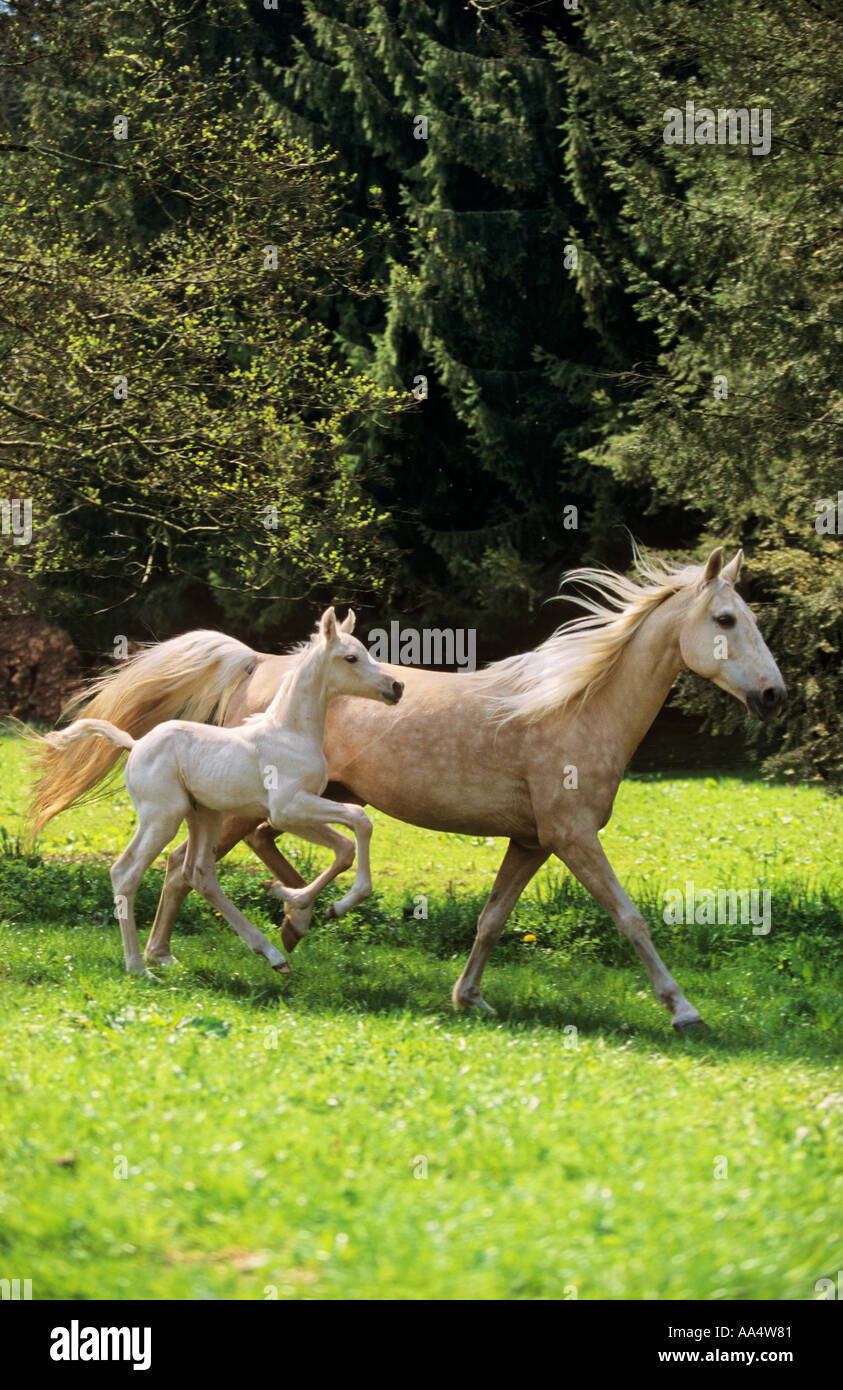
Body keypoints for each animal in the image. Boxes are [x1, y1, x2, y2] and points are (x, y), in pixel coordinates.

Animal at [39, 608, 403, 977]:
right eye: (351, 657)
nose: (396, 686)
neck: (290, 733)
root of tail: (136, 744)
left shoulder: (294, 814)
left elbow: (345, 848)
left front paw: (294, 899)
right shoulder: (288, 808)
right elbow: (360, 821)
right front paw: (321, 903)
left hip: (205, 815)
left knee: (199, 874)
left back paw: (272, 955)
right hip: (162, 817)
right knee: (126, 872)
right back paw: (139, 968)